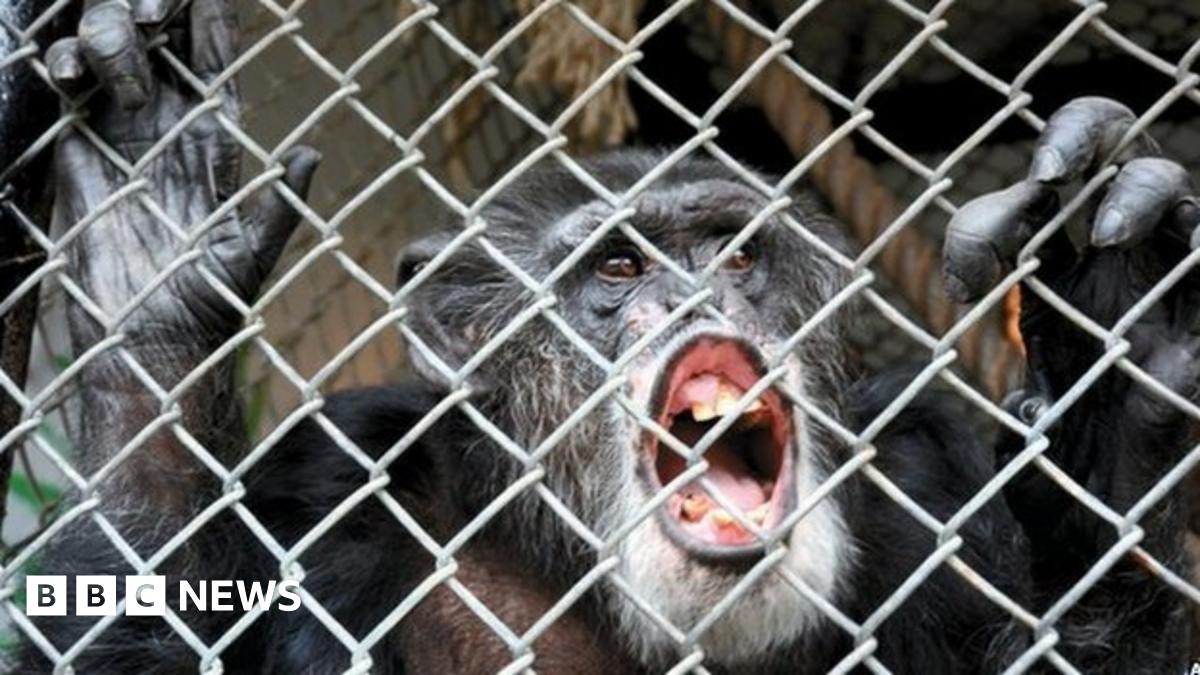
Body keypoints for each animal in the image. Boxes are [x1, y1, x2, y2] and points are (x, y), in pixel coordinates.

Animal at [7, 1, 1199, 673]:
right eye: (619, 269)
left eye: (735, 254)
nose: (697, 297)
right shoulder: (325, 479)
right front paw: (152, 246)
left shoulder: (929, 469)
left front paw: (1122, 322)